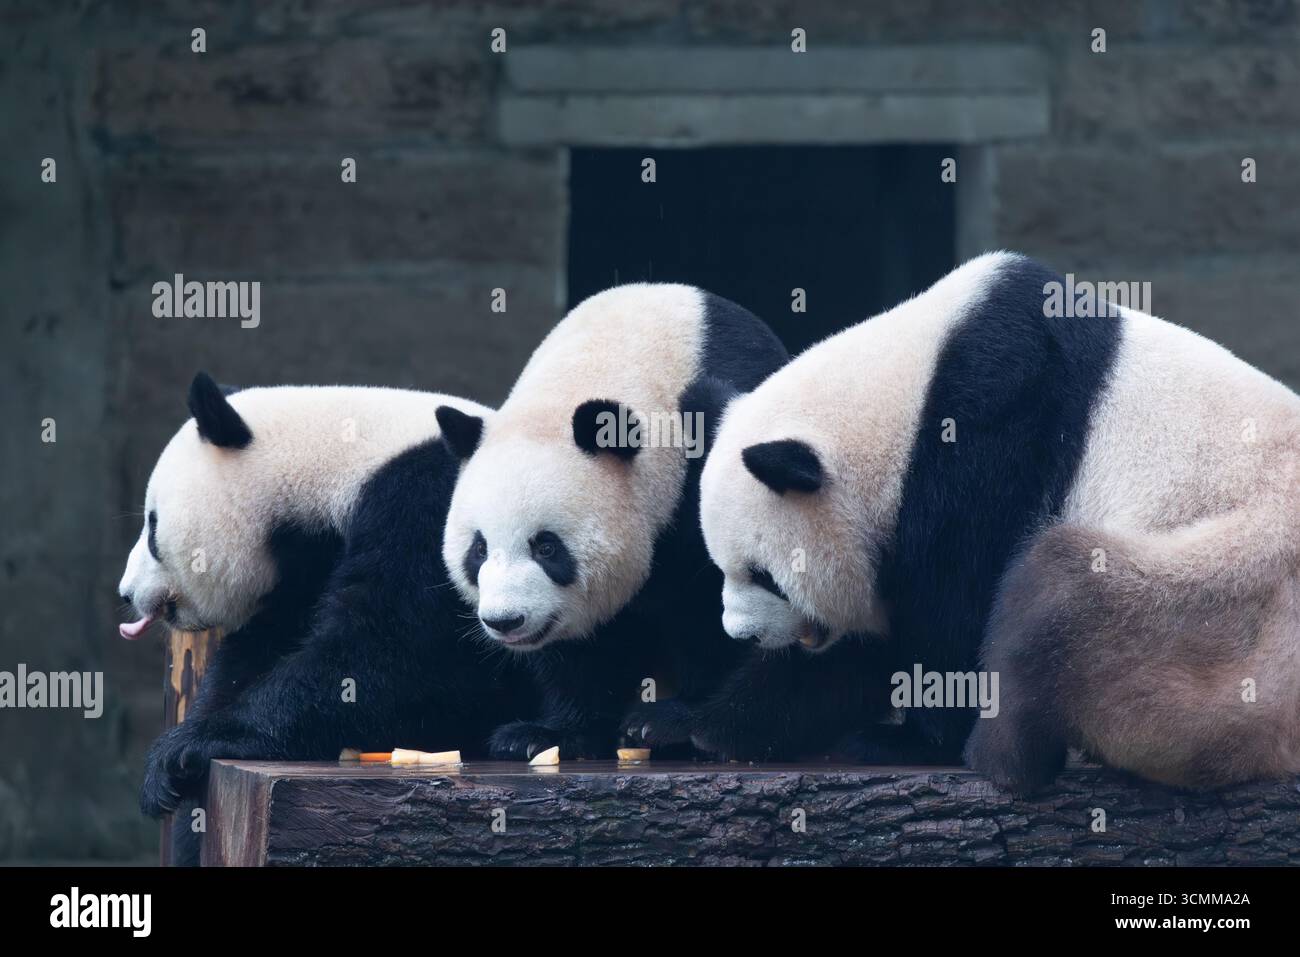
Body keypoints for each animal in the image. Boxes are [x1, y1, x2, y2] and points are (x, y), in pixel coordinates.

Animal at [118, 373, 534, 859]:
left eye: (151, 527)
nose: (126, 593)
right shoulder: (307, 563)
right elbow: (257, 651)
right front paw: (167, 775)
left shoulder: (431, 505)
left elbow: (400, 656)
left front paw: (195, 744)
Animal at [434, 283, 789, 759]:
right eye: (478, 549)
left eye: (547, 547)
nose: (505, 620)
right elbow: (577, 653)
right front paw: (545, 735)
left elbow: (710, 610)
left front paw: (670, 722)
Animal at [679, 251, 1300, 789]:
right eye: (723, 570)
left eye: (764, 576)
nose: (741, 632)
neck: (902, 402)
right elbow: (857, 653)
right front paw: (706, 729)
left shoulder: (990, 436)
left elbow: (955, 611)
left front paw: (909, 741)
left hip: (1217, 604)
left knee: (1058, 594)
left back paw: (1004, 757)